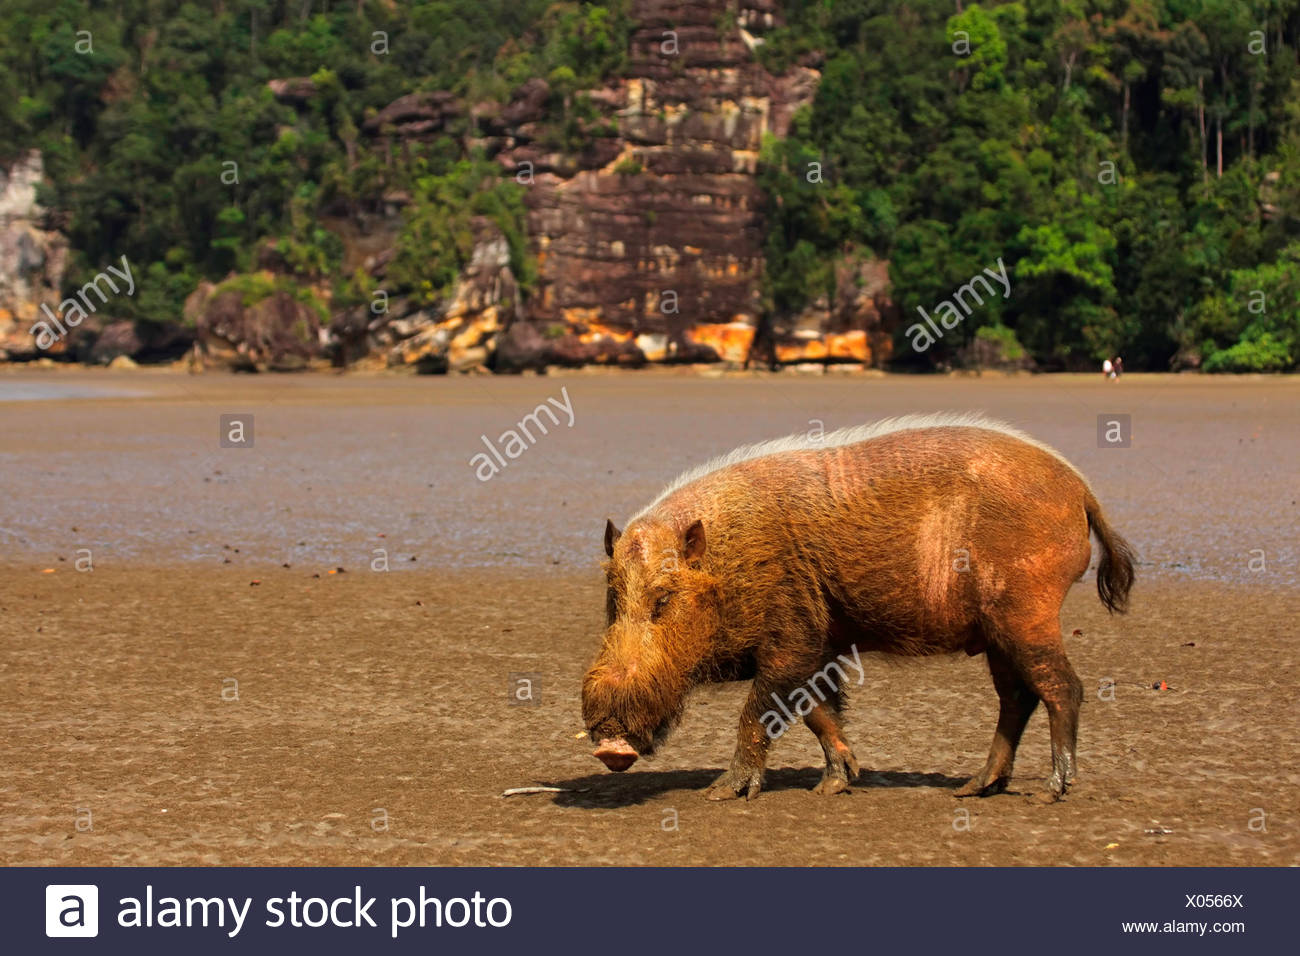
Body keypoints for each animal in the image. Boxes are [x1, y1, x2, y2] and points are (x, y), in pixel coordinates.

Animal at [582, 413, 1135, 802]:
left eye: (663, 599)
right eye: (613, 599)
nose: (609, 745)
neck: (732, 561)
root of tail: (1083, 492)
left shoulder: (794, 636)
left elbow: (759, 710)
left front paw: (720, 794)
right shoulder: (819, 645)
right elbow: (817, 711)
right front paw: (835, 784)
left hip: (1026, 611)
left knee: (1063, 688)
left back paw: (1052, 791)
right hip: (999, 631)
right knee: (1017, 697)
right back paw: (973, 789)